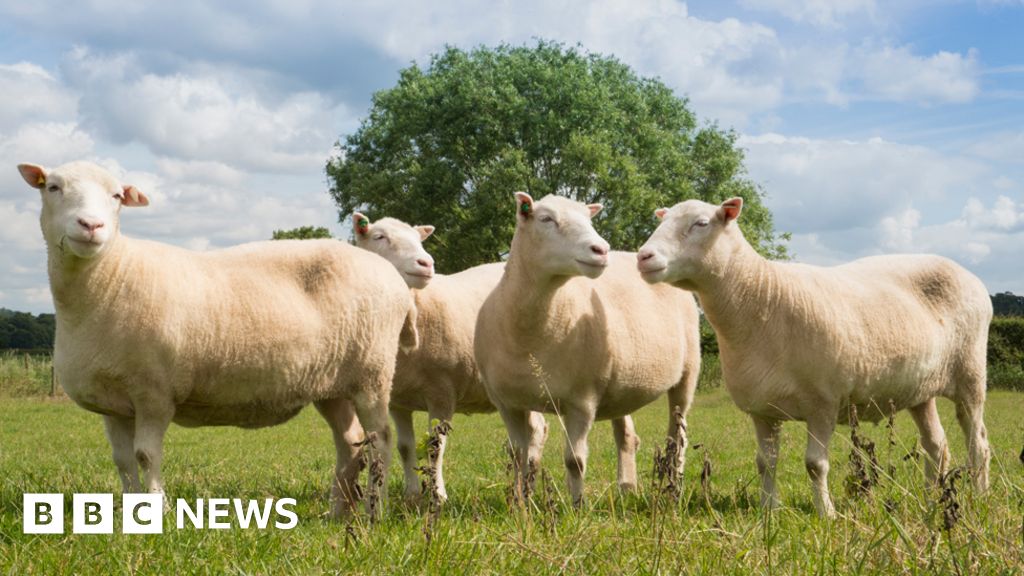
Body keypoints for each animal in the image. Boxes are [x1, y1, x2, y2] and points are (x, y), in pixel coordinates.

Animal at [16, 160, 419, 518]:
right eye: (53, 187)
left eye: (116, 196)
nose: (91, 225)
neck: (111, 275)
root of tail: (395, 280)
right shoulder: (114, 404)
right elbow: (123, 461)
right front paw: (131, 512)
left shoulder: (153, 393)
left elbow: (146, 455)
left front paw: (158, 512)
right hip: (333, 384)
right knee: (350, 443)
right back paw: (338, 512)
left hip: (373, 373)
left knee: (381, 439)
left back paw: (375, 511)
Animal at [352, 213, 646, 501]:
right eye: (379, 237)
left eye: (418, 239)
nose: (425, 263)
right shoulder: (398, 401)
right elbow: (405, 447)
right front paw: (412, 495)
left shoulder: (442, 392)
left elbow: (436, 447)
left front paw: (438, 495)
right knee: (541, 429)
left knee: (612, 432)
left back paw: (621, 486)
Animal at [474, 193, 701, 505]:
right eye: (546, 218)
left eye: (588, 218)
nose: (601, 249)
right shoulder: (507, 403)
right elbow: (519, 455)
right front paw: (520, 504)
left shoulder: (581, 400)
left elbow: (574, 460)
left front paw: (577, 506)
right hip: (623, 384)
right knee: (627, 436)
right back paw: (627, 488)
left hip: (688, 373)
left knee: (678, 439)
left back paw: (673, 489)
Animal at [637, 197, 992, 517]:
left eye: (701, 223)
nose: (643, 256)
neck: (760, 300)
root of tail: (968, 275)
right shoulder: (762, 409)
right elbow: (765, 463)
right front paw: (769, 511)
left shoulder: (823, 403)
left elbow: (815, 465)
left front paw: (826, 513)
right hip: (920, 390)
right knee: (937, 445)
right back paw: (931, 500)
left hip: (971, 376)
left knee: (978, 442)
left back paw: (979, 496)